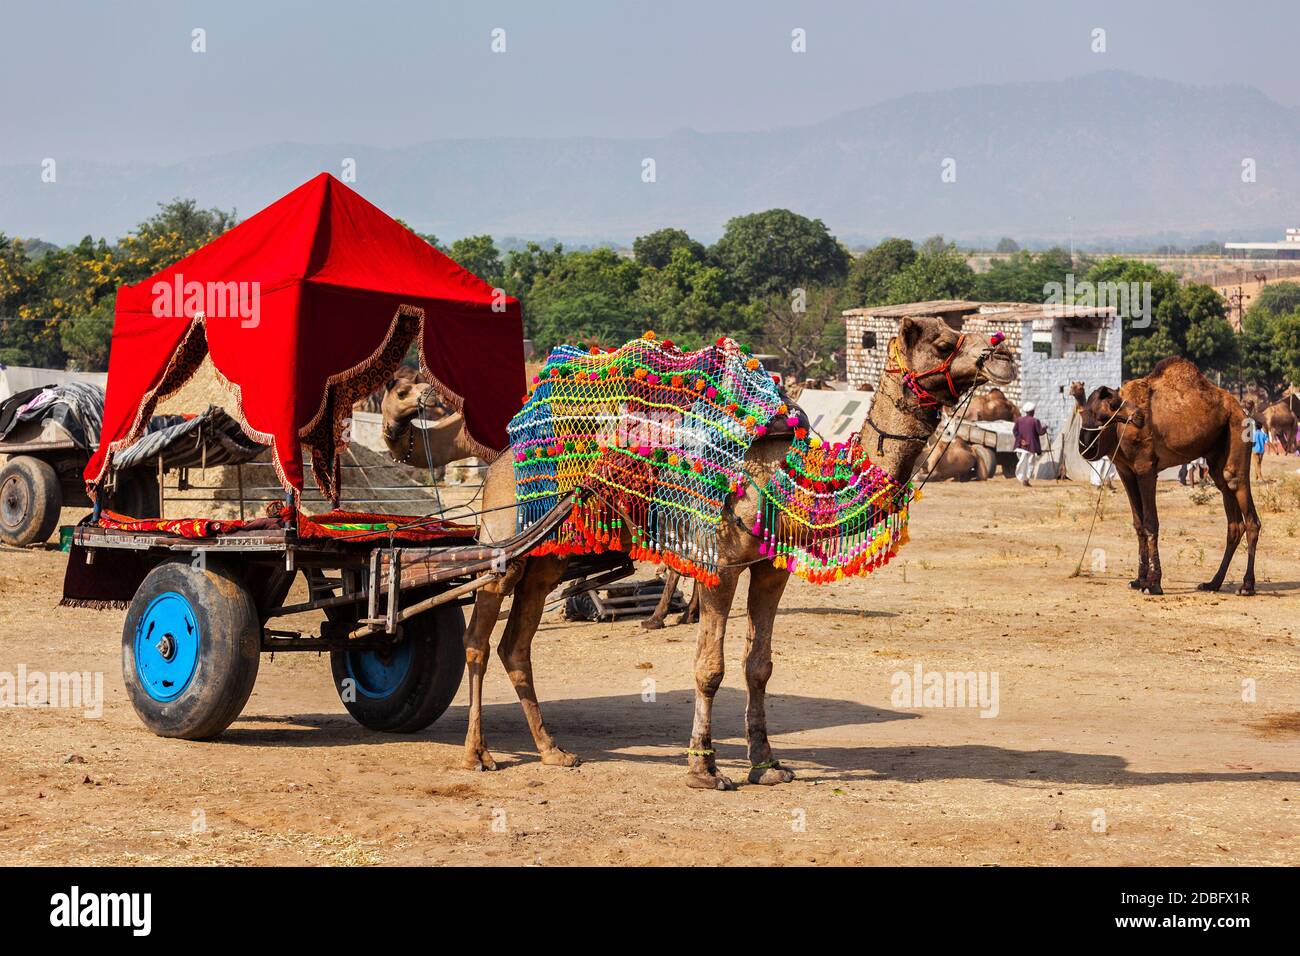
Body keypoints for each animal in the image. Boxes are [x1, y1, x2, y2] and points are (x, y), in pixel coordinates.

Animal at [461, 316, 1015, 788]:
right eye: (942, 343)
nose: (1003, 354)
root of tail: (499, 459)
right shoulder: (722, 563)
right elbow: (711, 668)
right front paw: (704, 771)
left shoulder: (770, 568)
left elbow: (759, 666)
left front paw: (767, 765)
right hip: (503, 544)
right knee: (478, 638)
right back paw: (477, 754)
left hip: (549, 554)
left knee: (516, 644)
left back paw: (552, 751)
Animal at [1077, 357, 1260, 596]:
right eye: (1114, 404)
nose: (1139, 416)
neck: (1114, 432)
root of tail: (1242, 409)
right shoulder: (1126, 471)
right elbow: (1138, 524)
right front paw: (1138, 580)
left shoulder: (1145, 468)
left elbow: (1150, 523)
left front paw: (1153, 584)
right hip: (1217, 457)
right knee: (1233, 521)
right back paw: (1213, 583)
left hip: (1237, 432)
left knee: (1246, 508)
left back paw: (1247, 586)